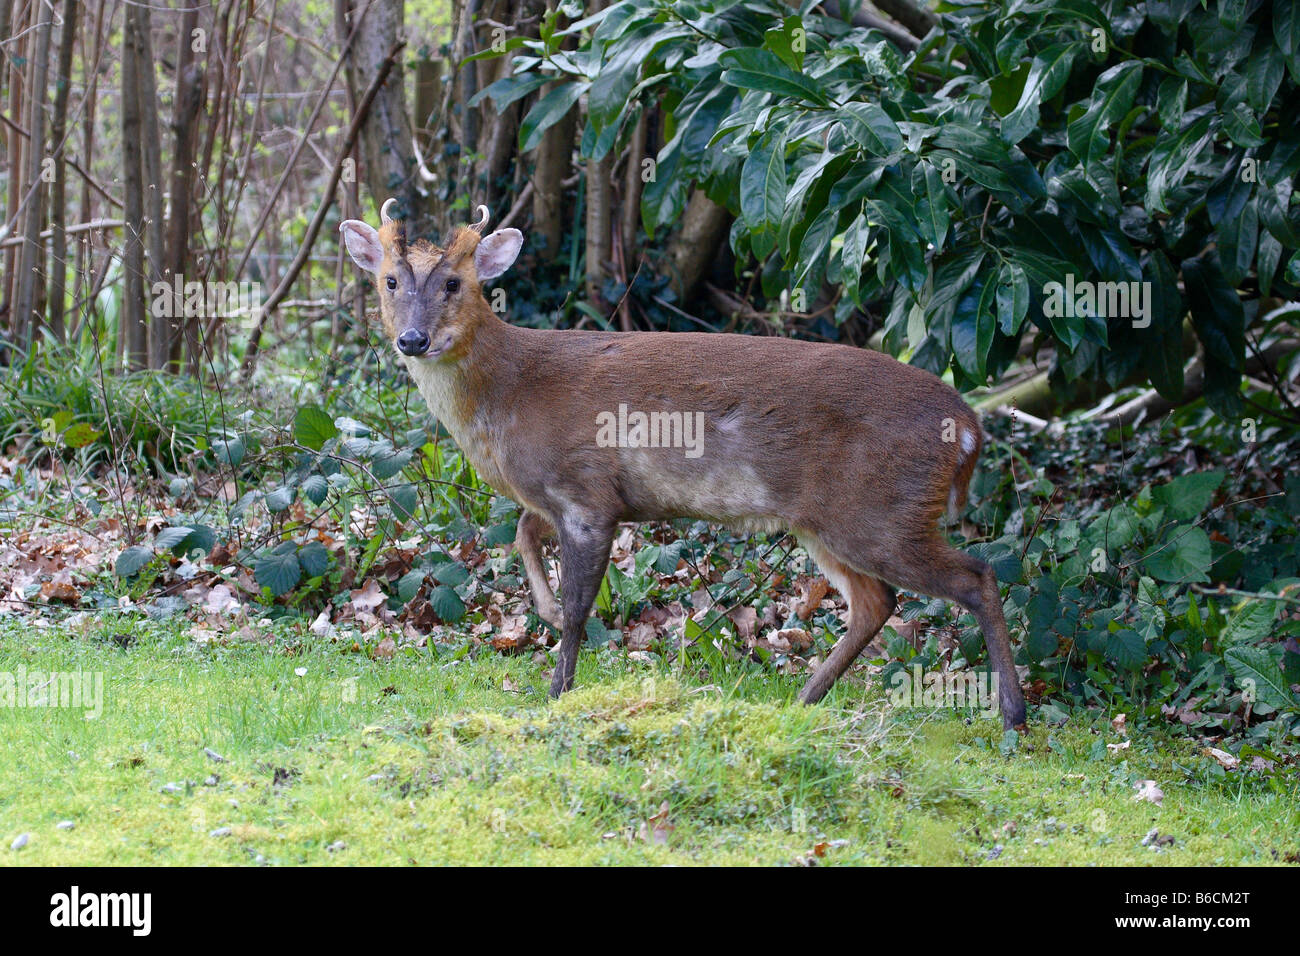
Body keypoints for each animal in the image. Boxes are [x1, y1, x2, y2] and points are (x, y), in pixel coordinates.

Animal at [339, 200, 1027, 729]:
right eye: (390, 282)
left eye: (455, 283)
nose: (414, 340)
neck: (509, 394)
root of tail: (968, 427)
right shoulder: (555, 498)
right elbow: (523, 535)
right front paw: (545, 613)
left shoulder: (588, 493)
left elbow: (581, 602)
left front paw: (558, 690)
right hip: (831, 521)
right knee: (876, 601)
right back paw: (804, 701)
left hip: (880, 508)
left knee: (975, 576)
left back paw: (1012, 716)